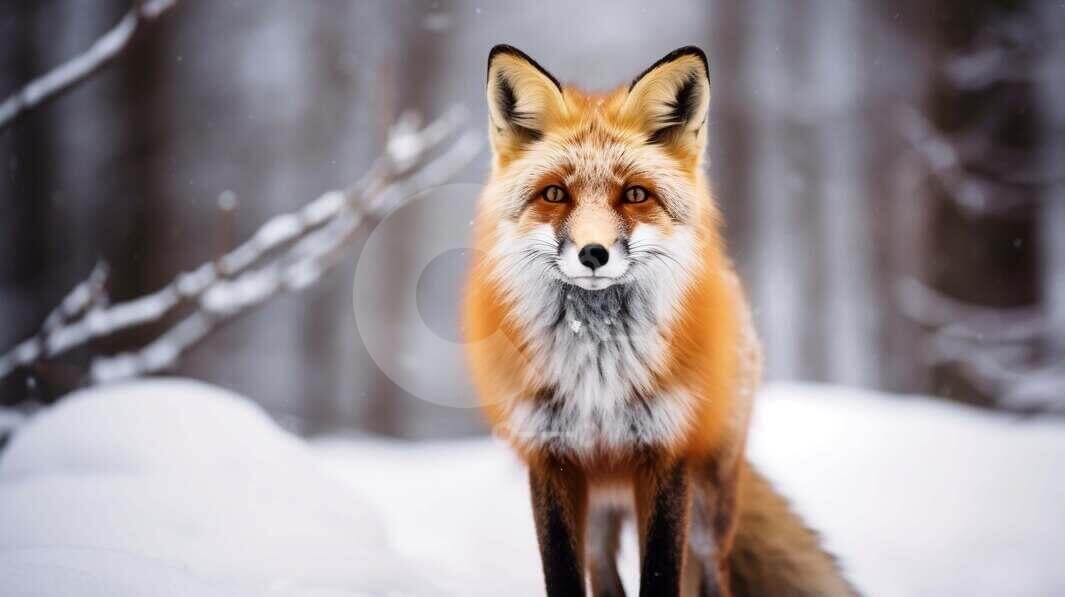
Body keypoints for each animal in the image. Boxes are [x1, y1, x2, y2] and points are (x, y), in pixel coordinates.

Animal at [462, 45, 857, 597]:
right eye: (555, 194)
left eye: (634, 195)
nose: (593, 253)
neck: (598, 370)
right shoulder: (551, 456)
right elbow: (564, 577)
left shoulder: (665, 454)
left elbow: (660, 575)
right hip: (600, 505)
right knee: (604, 573)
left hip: (710, 507)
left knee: (712, 574)